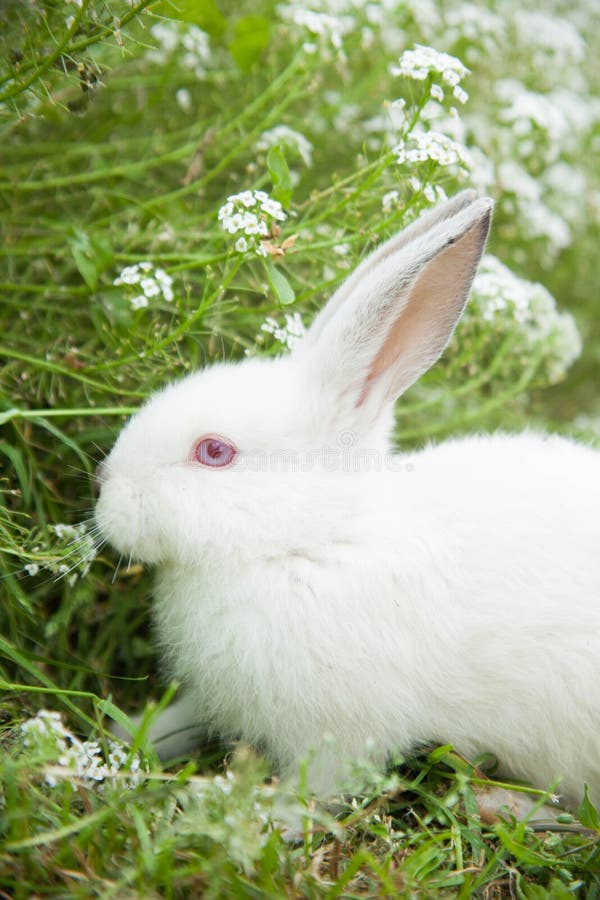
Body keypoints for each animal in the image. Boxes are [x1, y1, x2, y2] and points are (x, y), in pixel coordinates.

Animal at [95, 190, 600, 814]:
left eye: (214, 451)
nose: (104, 487)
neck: (311, 538)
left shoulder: (339, 734)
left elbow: (321, 790)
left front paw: (265, 817)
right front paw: (123, 737)